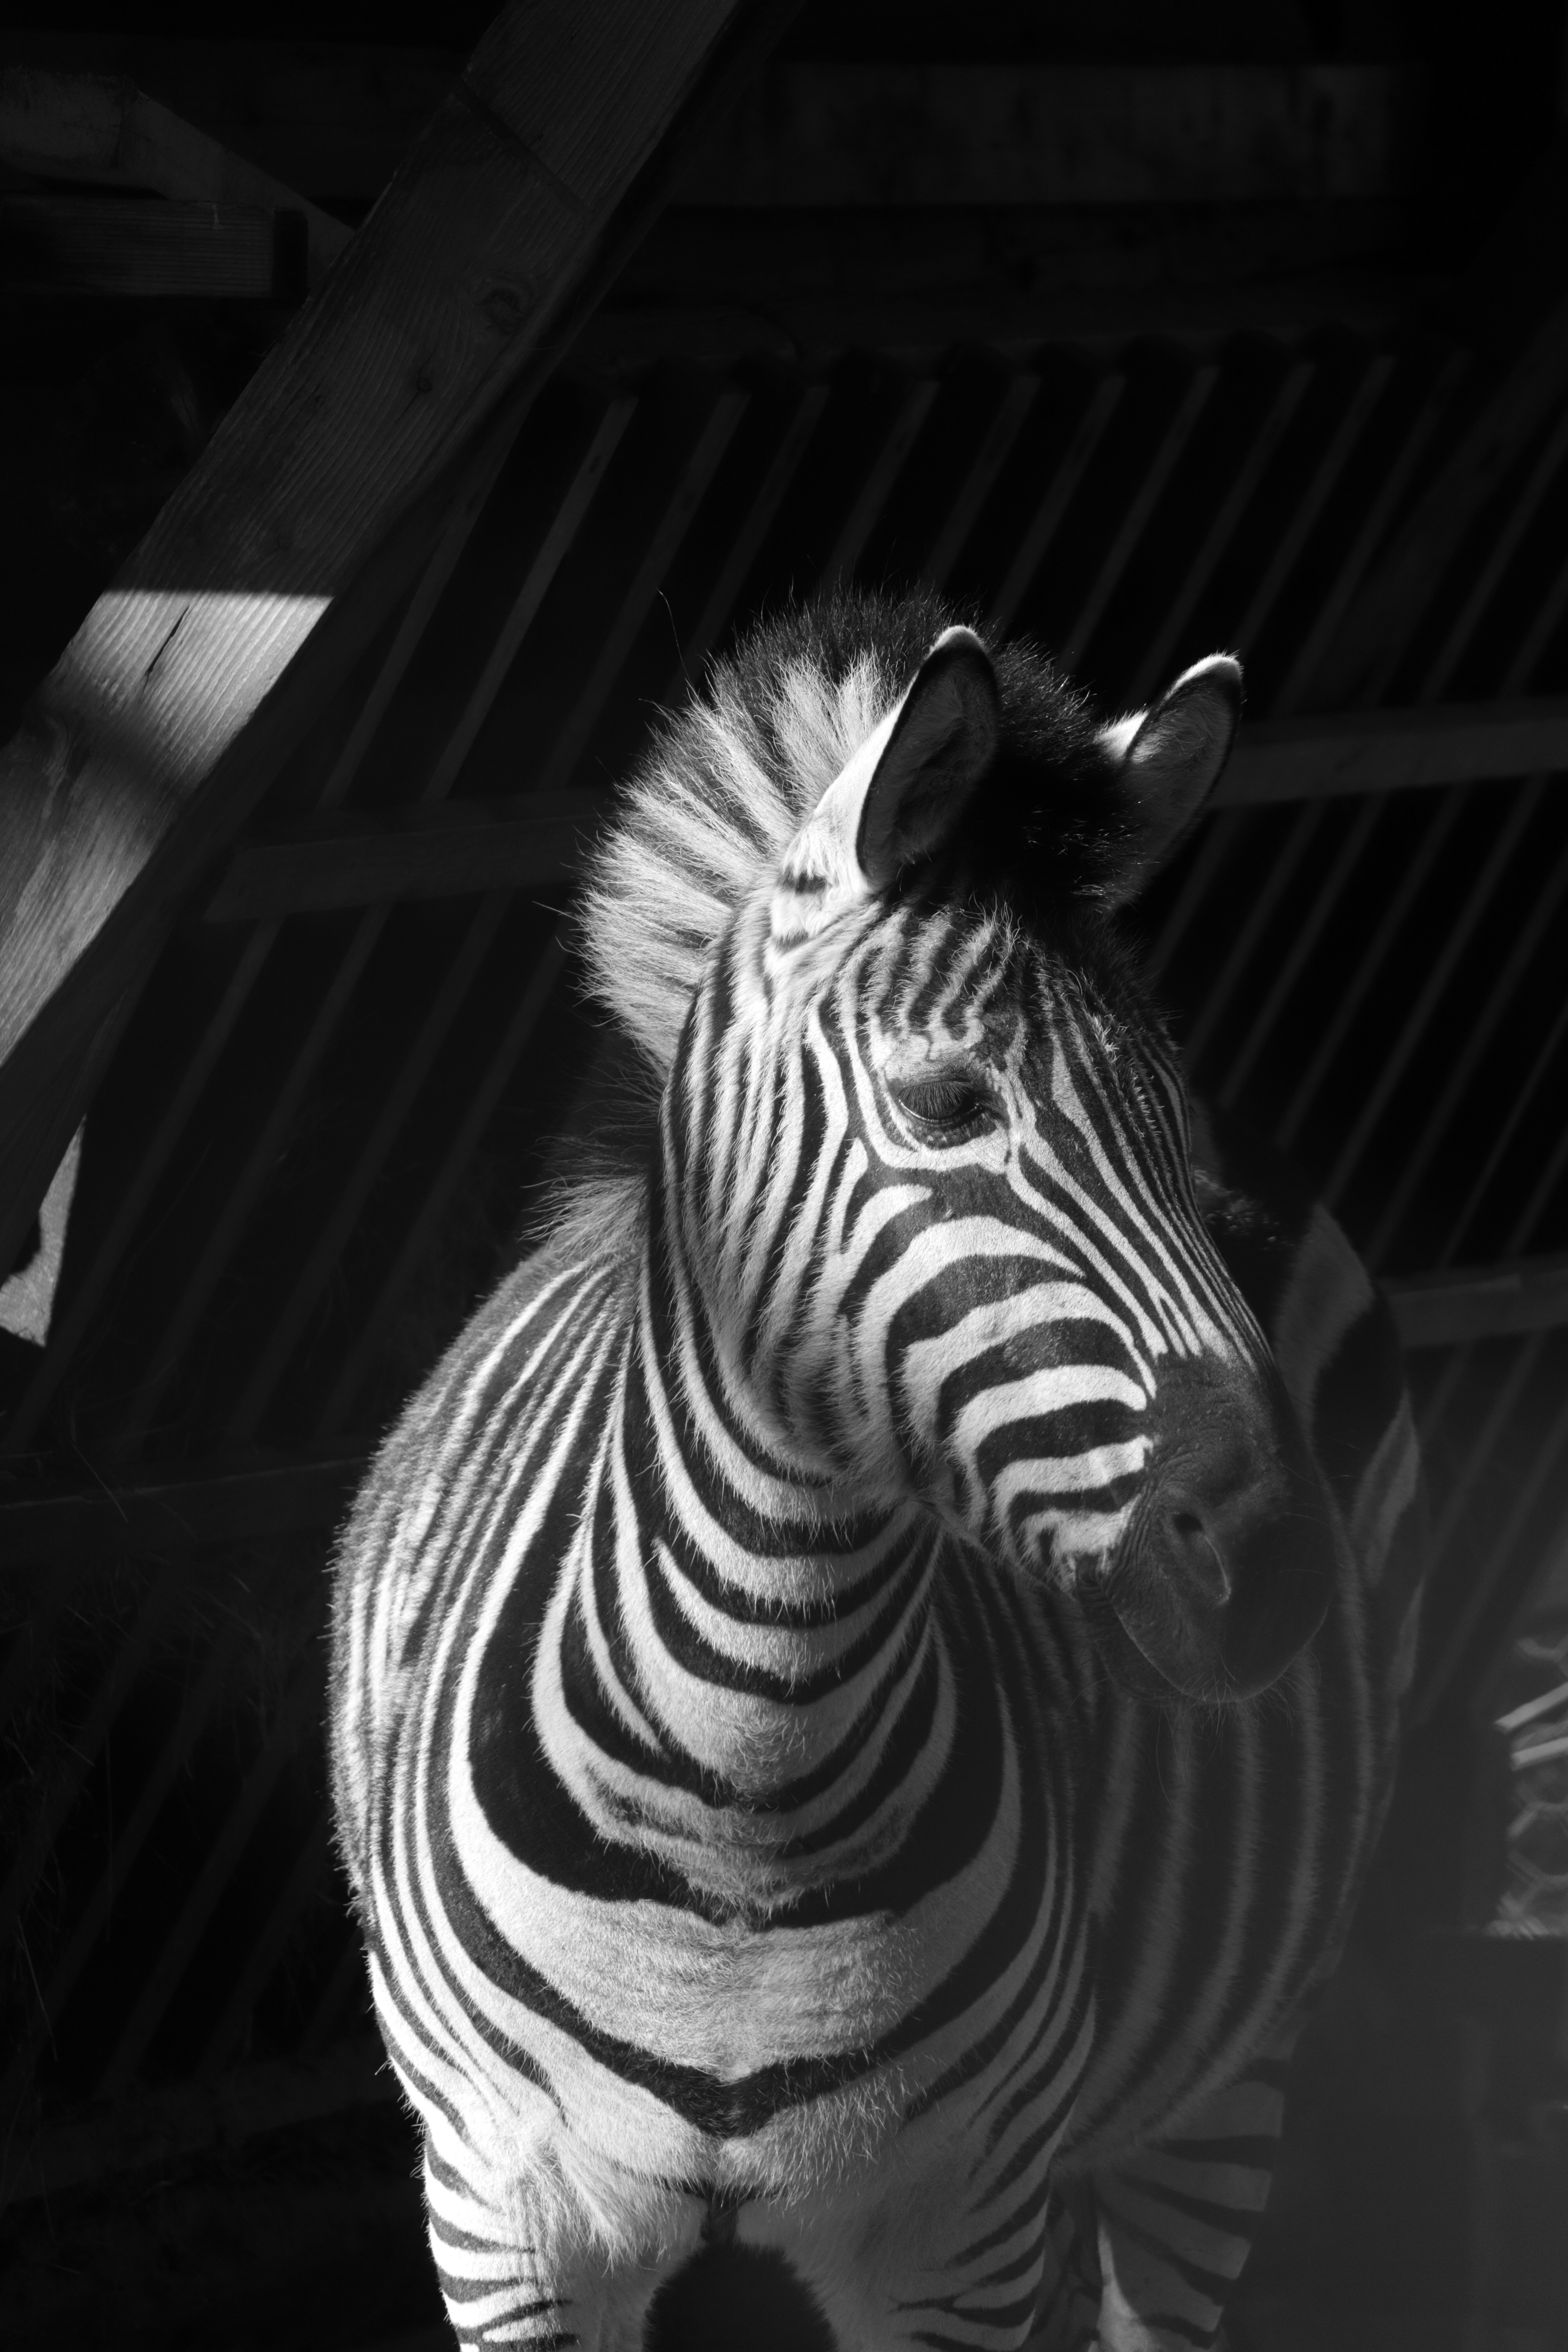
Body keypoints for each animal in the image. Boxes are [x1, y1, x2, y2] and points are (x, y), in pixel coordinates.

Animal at [330, 589, 1425, 2352]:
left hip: (1224, 2085)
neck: (742, 1796)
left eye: (1170, 1126)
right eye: (945, 1102)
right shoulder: (507, 2220)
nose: (1273, 1567)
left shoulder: (953, 2230)